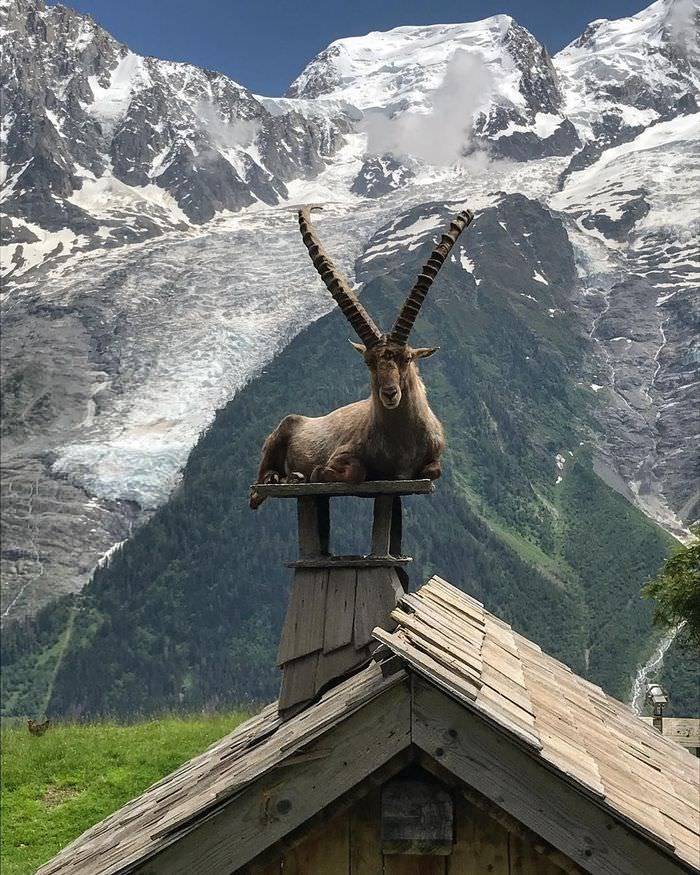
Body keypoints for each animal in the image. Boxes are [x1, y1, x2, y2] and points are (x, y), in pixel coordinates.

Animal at [250, 206, 474, 509]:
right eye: (369, 362)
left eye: (406, 358)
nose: (389, 393)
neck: (401, 443)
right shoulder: (343, 453)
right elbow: (357, 471)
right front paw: (315, 473)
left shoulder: (433, 459)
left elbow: (434, 470)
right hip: (280, 436)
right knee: (258, 486)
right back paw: (286, 478)